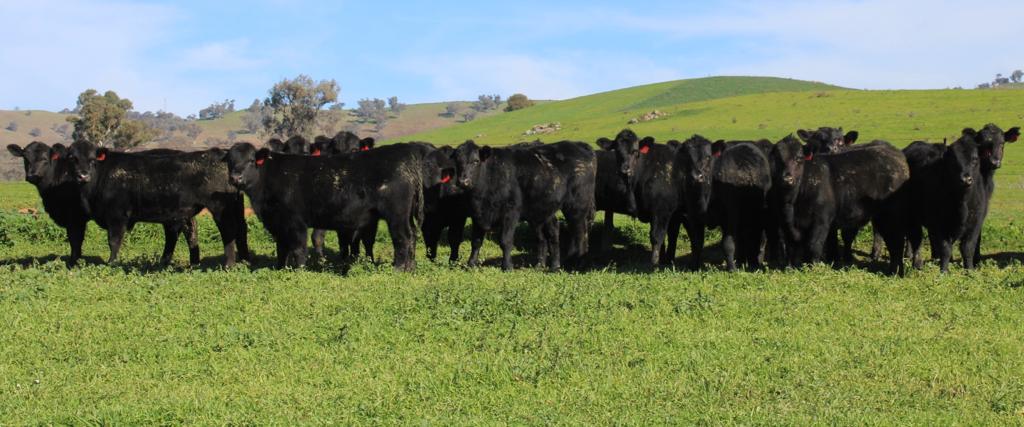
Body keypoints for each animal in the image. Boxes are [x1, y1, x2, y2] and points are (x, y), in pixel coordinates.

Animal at [65, 141, 249, 267]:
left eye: (92, 159)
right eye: (73, 158)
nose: (83, 175)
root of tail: (220, 153)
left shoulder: (117, 216)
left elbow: (114, 240)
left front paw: (112, 263)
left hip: (220, 209)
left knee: (228, 230)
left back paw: (229, 265)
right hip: (232, 207)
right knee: (239, 229)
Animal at [452, 140, 596, 271]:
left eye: (476, 161)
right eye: (457, 162)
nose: (463, 181)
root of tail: (579, 144)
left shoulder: (510, 213)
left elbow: (505, 240)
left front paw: (507, 266)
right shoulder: (477, 214)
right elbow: (476, 241)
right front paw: (471, 264)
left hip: (577, 205)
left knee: (581, 233)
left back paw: (578, 263)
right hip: (542, 210)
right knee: (549, 234)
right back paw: (548, 265)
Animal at [770, 135, 909, 275]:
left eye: (799, 158)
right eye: (777, 159)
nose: (787, 179)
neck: (793, 202)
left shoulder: (821, 221)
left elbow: (813, 245)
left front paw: (812, 268)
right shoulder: (786, 223)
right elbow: (790, 246)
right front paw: (790, 268)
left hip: (892, 216)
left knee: (896, 241)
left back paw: (896, 270)